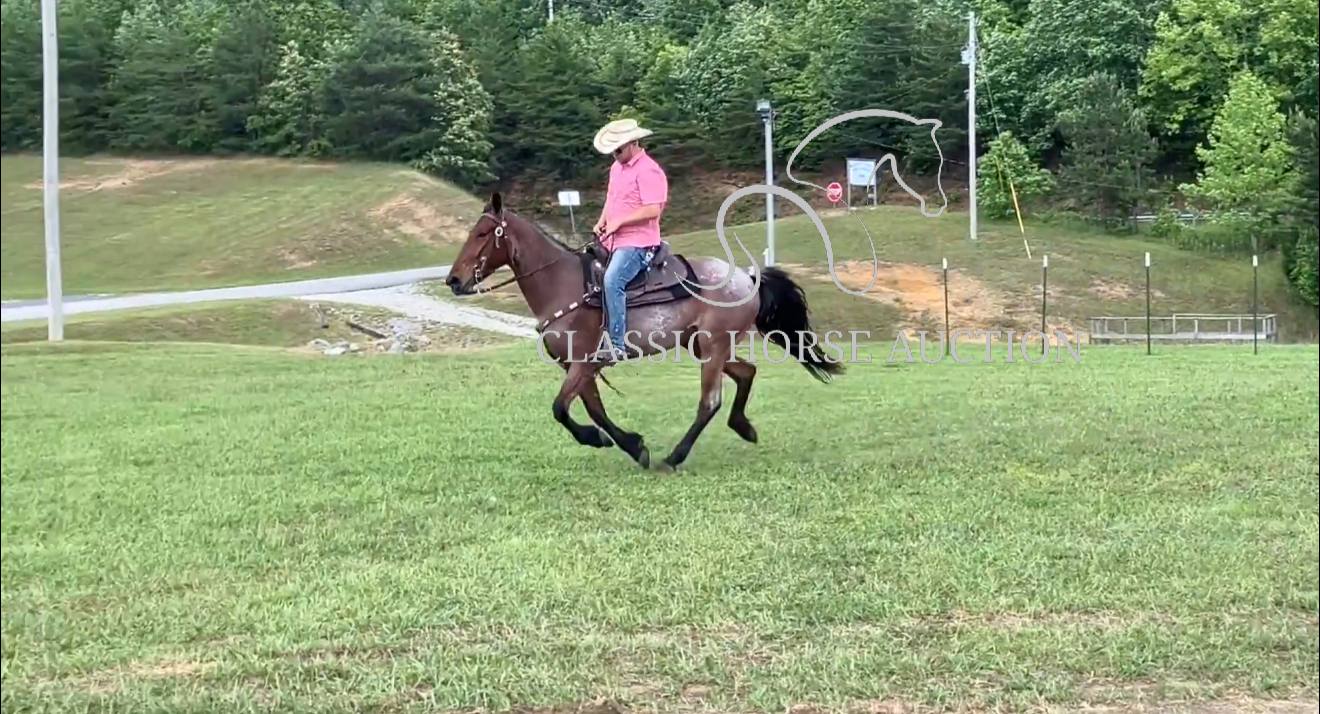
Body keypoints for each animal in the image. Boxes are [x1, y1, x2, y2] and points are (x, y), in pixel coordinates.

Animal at [444, 192, 842, 471]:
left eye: (483, 233)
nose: (453, 280)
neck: (563, 284)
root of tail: (747, 276)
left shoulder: (583, 362)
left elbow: (560, 408)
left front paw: (605, 441)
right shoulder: (579, 366)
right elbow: (593, 410)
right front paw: (630, 445)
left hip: (713, 347)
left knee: (709, 402)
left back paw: (675, 457)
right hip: (703, 345)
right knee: (747, 372)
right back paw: (743, 427)